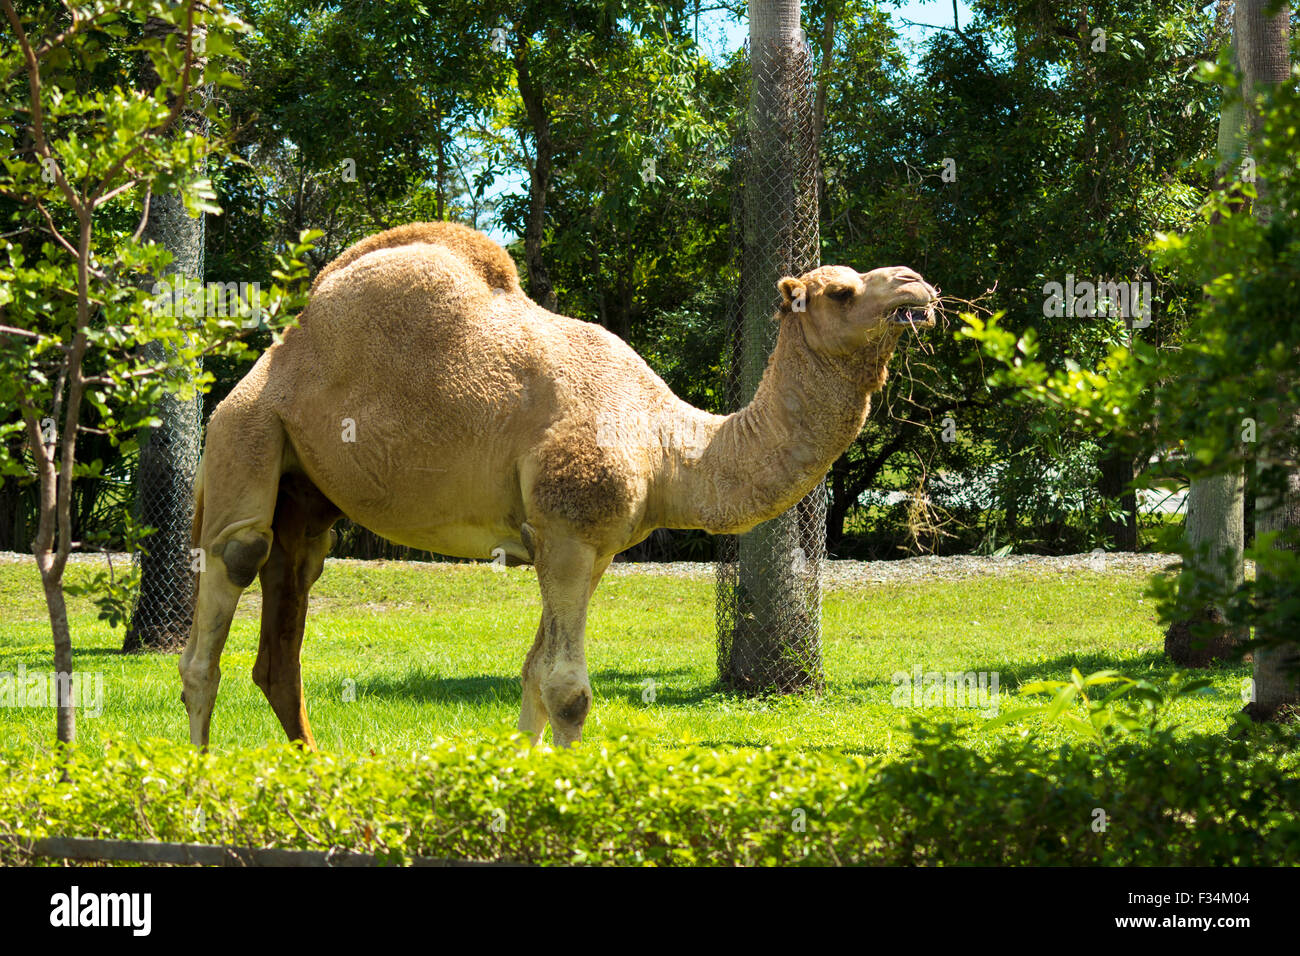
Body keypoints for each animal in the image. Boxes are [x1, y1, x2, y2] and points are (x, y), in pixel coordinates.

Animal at [179, 221, 937, 748]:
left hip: (307, 491)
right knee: (229, 578)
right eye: (840, 290)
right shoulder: (570, 529)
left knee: (289, 606)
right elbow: (568, 689)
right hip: (246, 434)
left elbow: (533, 676)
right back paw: (201, 778)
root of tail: (270, 357)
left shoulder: (584, 544)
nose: (917, 284)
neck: (666, 442)